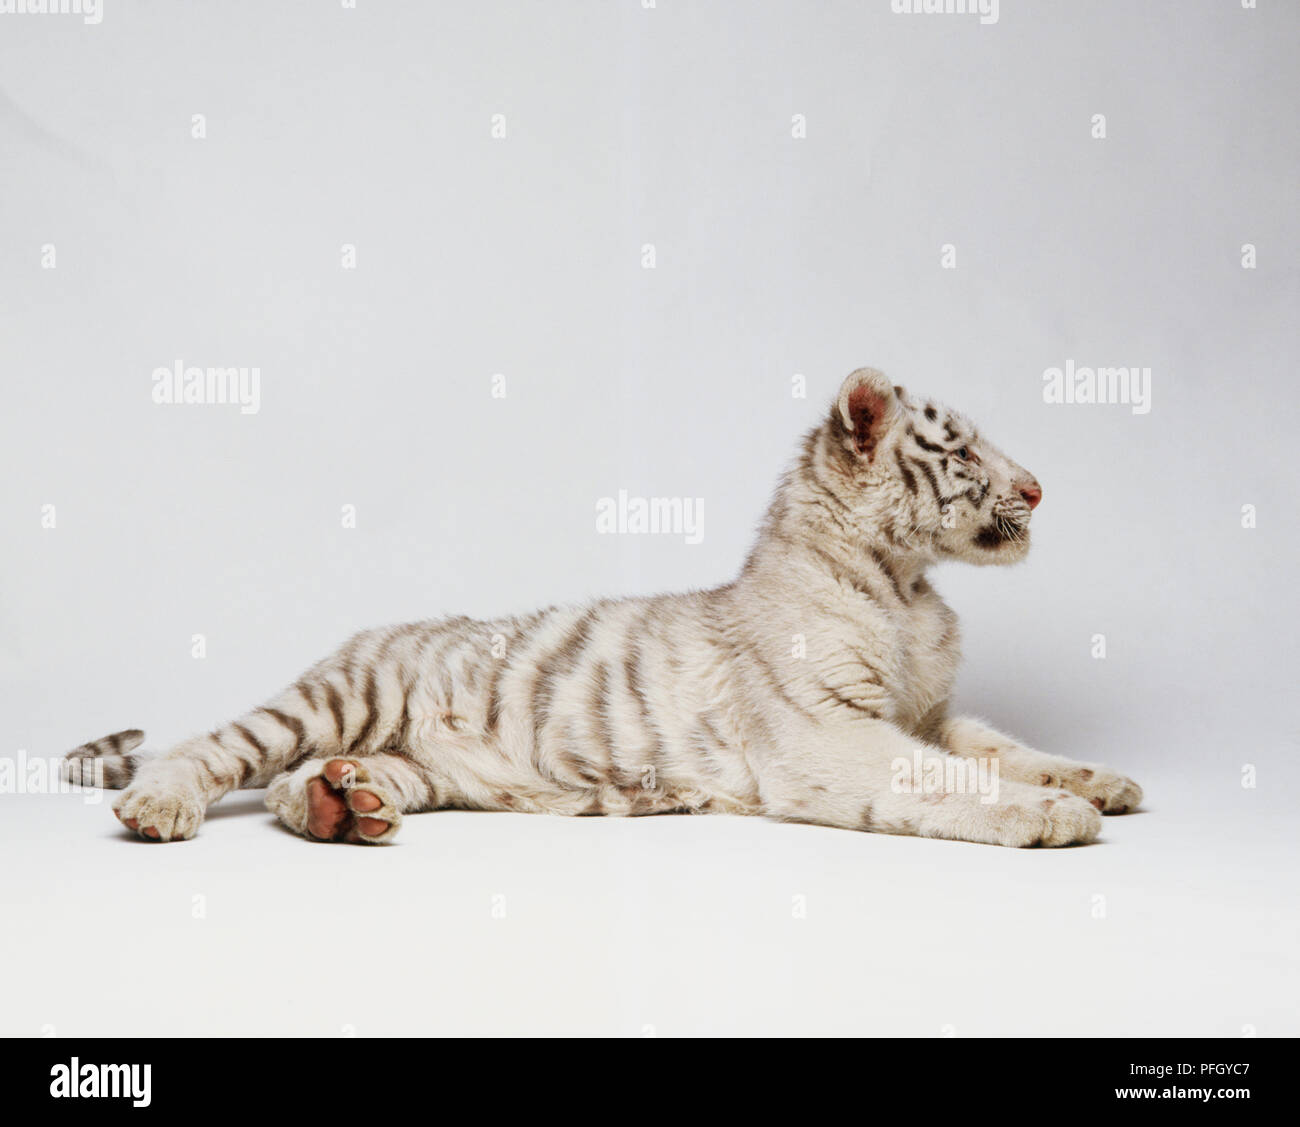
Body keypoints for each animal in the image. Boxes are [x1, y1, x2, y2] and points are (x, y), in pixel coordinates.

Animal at [64, 367, 1142, 847]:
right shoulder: (829, 733)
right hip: (337, 695)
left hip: (414, 760)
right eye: (960, 452)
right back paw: (161, 804)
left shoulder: (928, 710)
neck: (906, 583)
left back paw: (342, 802)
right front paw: (1055, 813)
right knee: (206, 748)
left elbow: (1005, 745)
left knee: (305, 784)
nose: (1038, 487)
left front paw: (1101, 782)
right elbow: (952, 778)